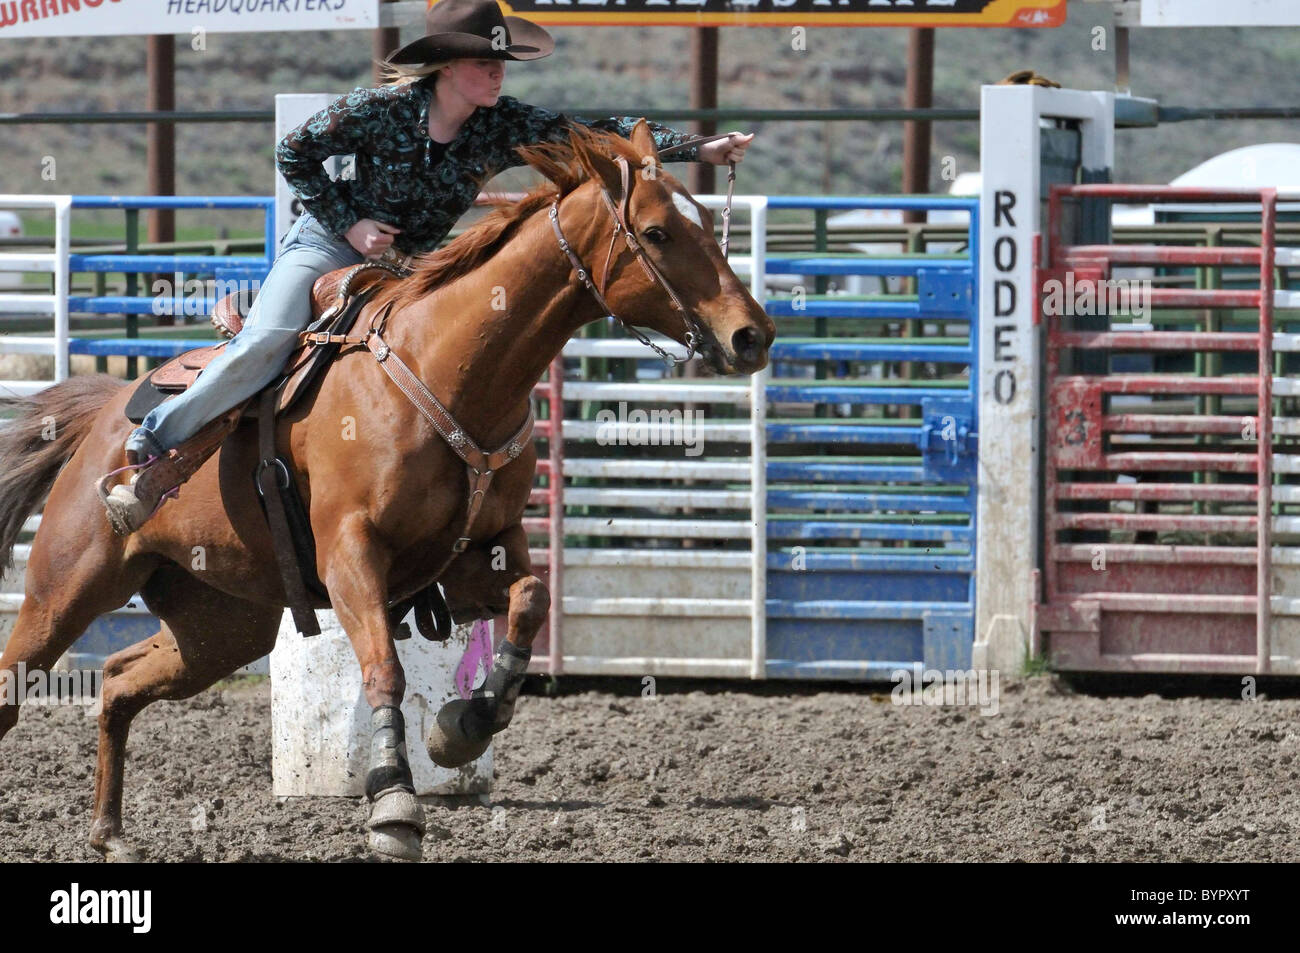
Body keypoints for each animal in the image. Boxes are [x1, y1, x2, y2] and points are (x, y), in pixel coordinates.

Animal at [0, 121, 774, 862]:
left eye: (702, 216)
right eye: (658, 231)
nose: (753, 335)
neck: (449, 369)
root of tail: (103, 415)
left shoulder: (478, 553)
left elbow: (531, 599)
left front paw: (464, 726)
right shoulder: (351, 554)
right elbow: (385, 670)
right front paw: (395, 807)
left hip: (220, 624)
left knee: (119, 679)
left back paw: (109, 832)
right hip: (66, 587)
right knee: (15, 686)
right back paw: (138, 483)